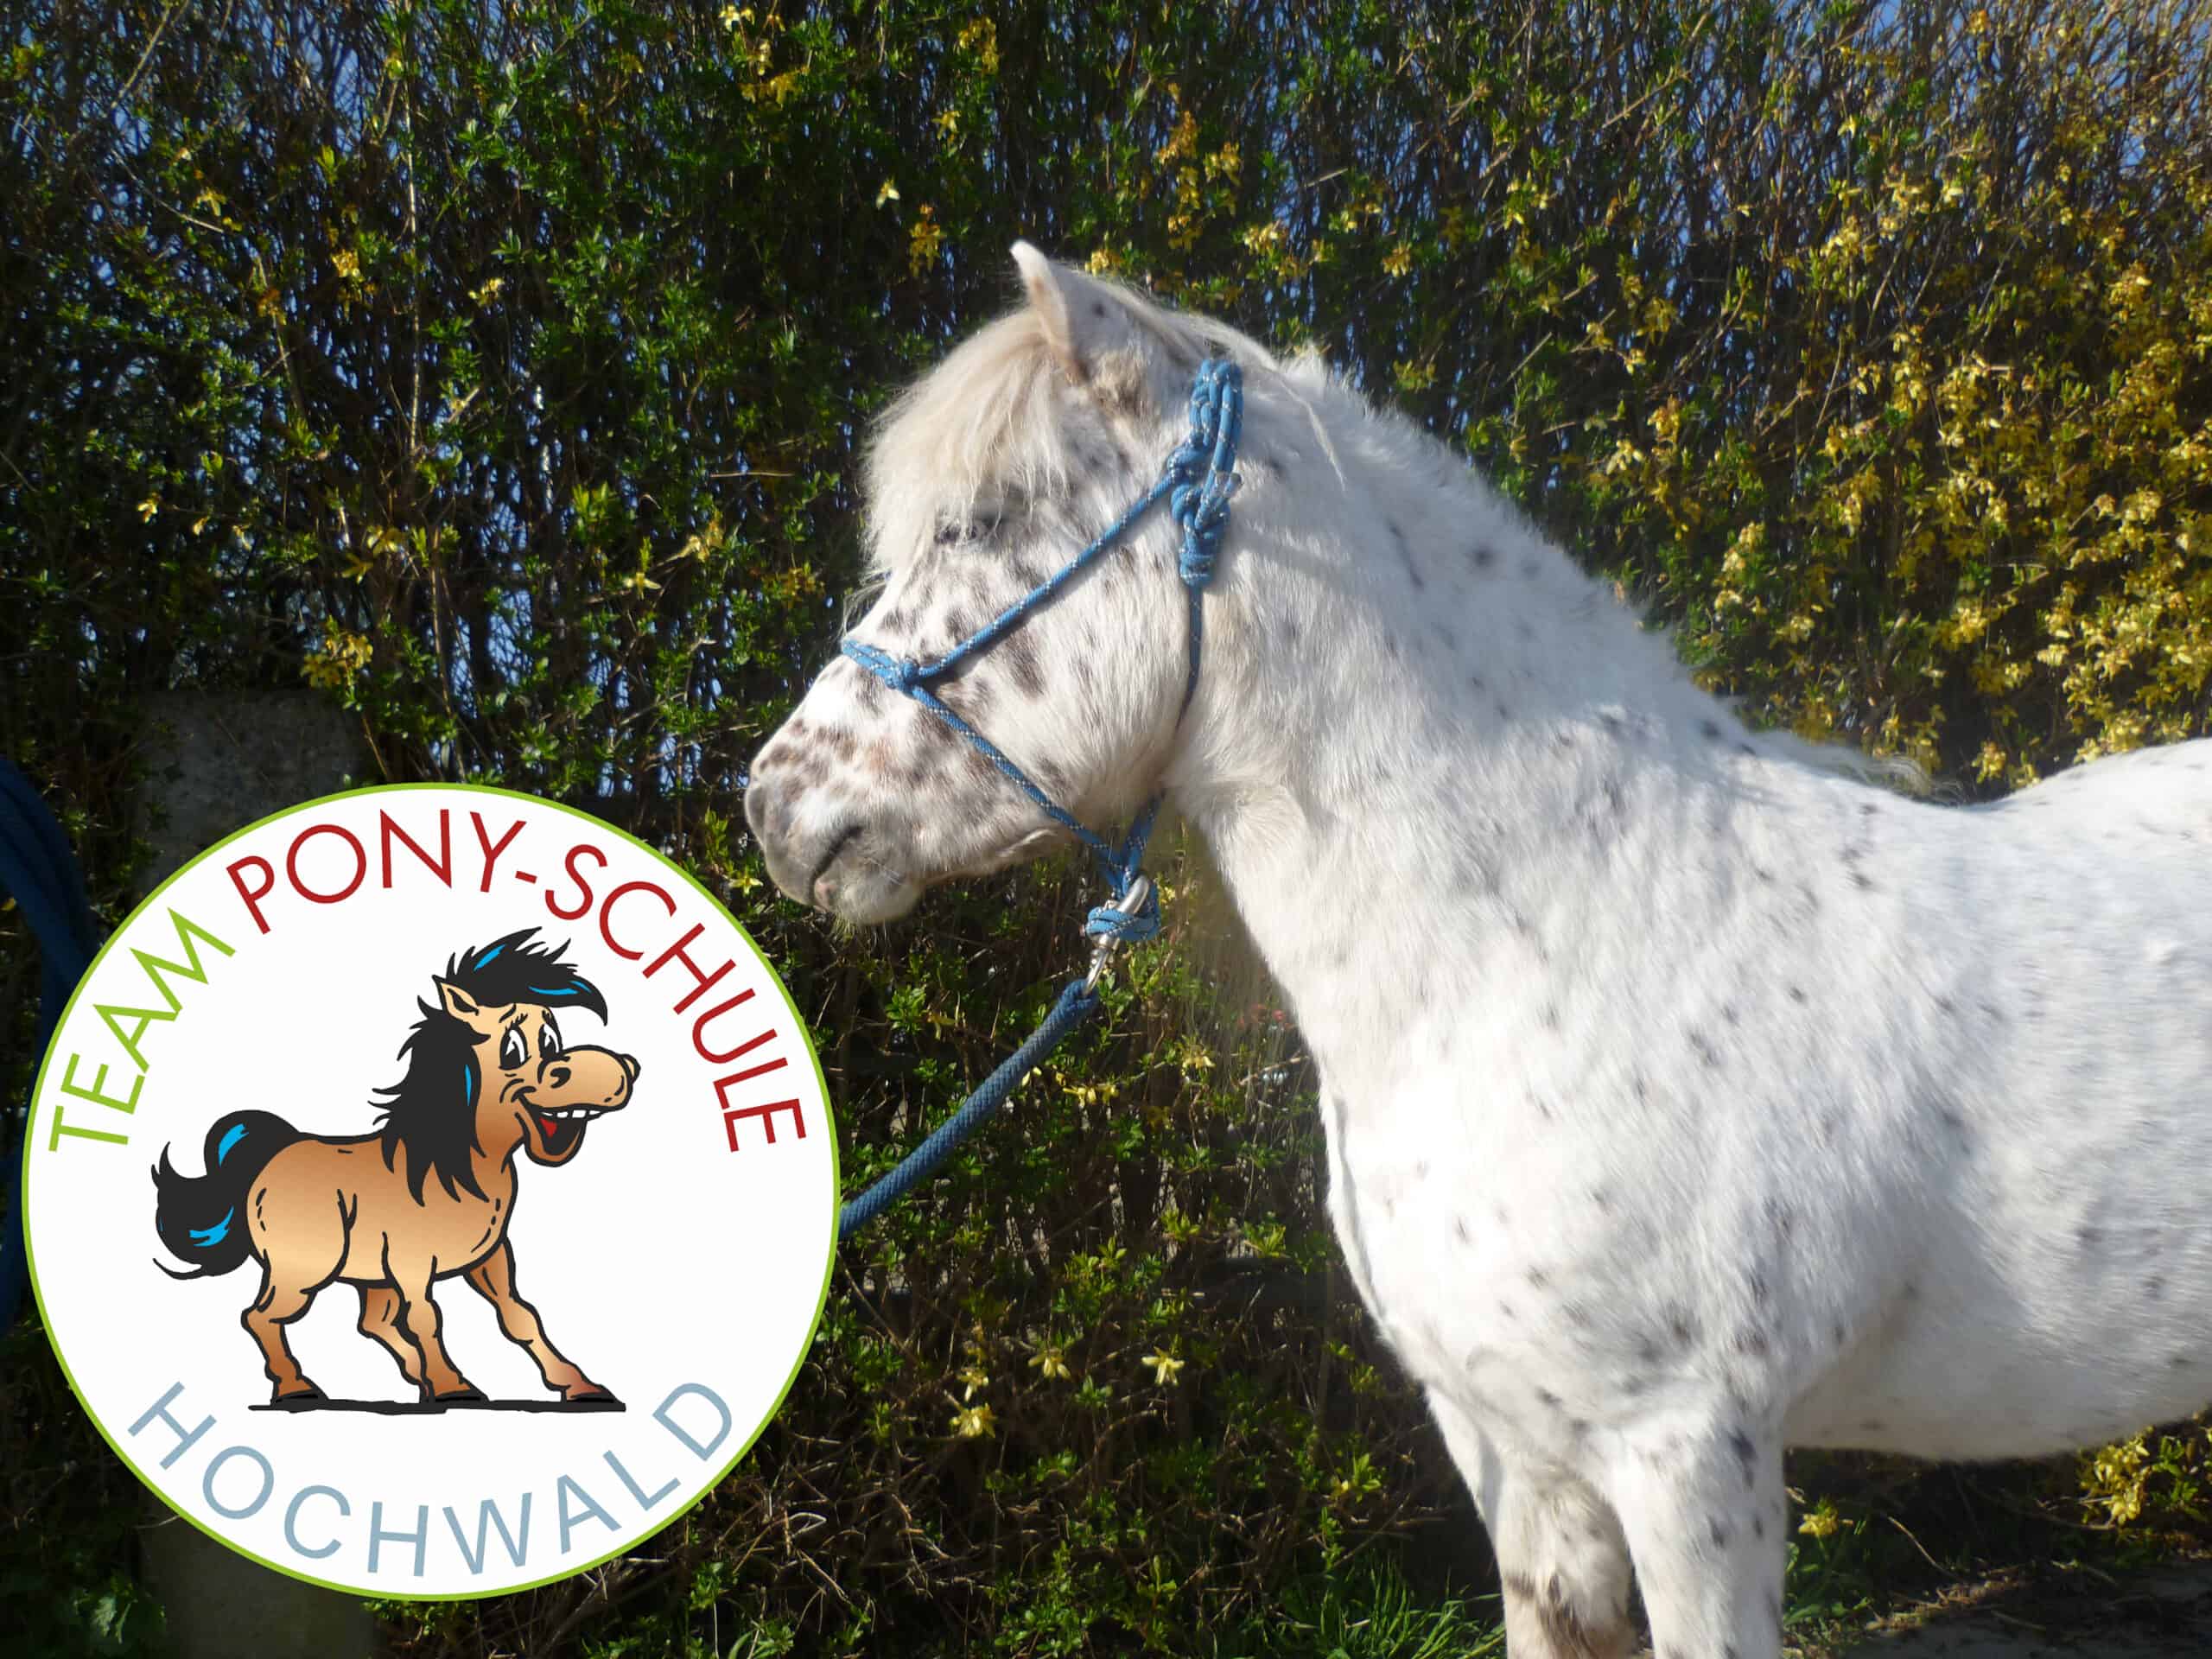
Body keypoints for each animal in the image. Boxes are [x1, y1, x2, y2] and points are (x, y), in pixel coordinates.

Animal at [152, 928, 640, 1408]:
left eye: (552, 1041)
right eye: (514, 1049)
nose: (623, 1070)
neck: (456, 1169)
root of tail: (275, 1152)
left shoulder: (490, 1257)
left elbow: (519, 1316)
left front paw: (579, 1386)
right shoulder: (413, 1263)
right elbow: (427, 1318)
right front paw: (453, 1387)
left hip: (369, 1276)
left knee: (373, 1323)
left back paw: (416, 1380)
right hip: (304, 1270)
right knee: (261, 1316)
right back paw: (297, 1387)